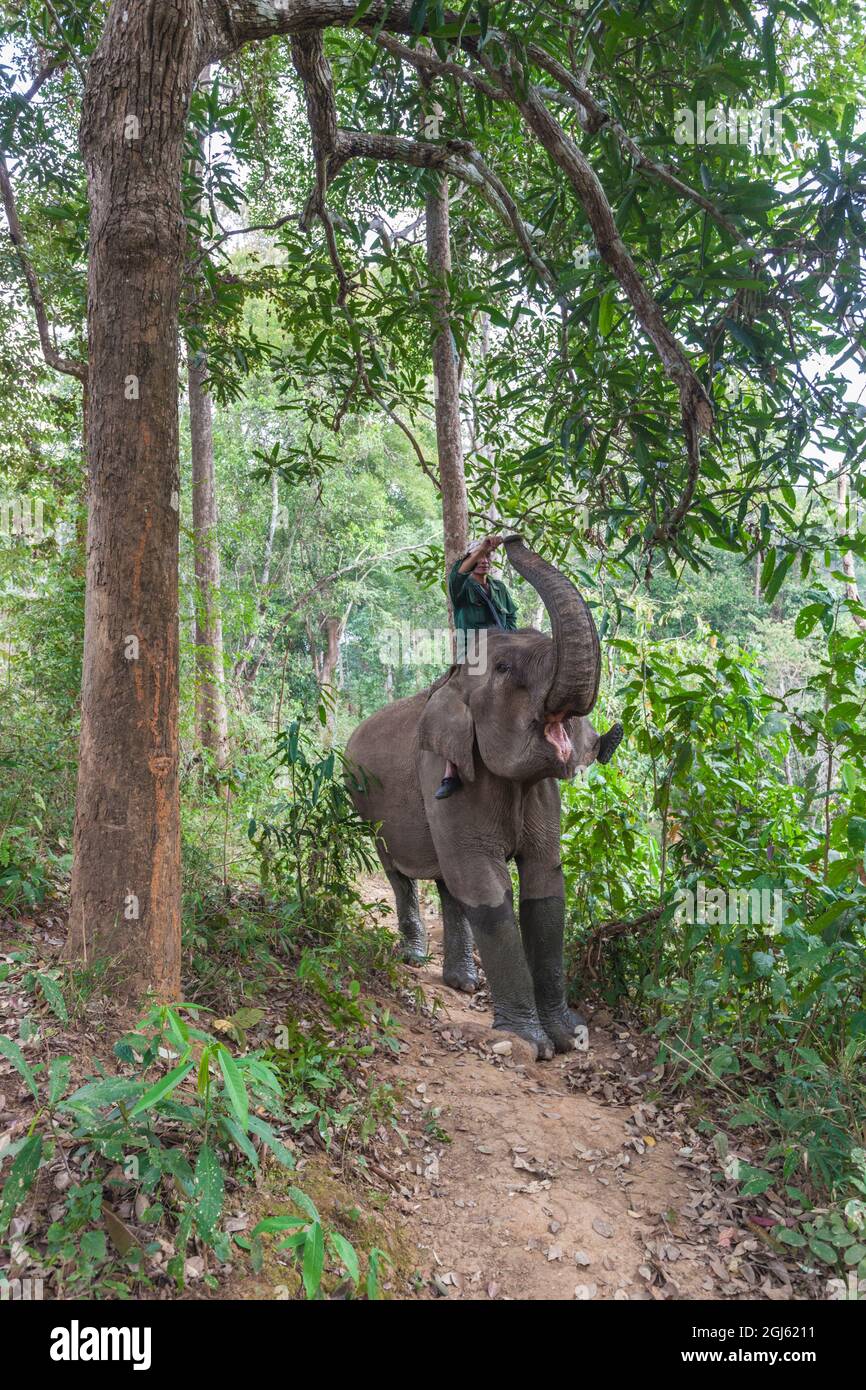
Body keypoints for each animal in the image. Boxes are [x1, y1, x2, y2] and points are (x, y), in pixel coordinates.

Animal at [345, 534, 606, 1060]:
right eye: (504, 668)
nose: (512, 538)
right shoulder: (445, 769)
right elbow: (485, 886)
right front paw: (530, 1043)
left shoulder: (540, 793)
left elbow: (545, 883)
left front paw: (571, 1036)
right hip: (363, 798)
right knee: (398, 870)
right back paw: (414, 956)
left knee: (447, 883)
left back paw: (462, 983)